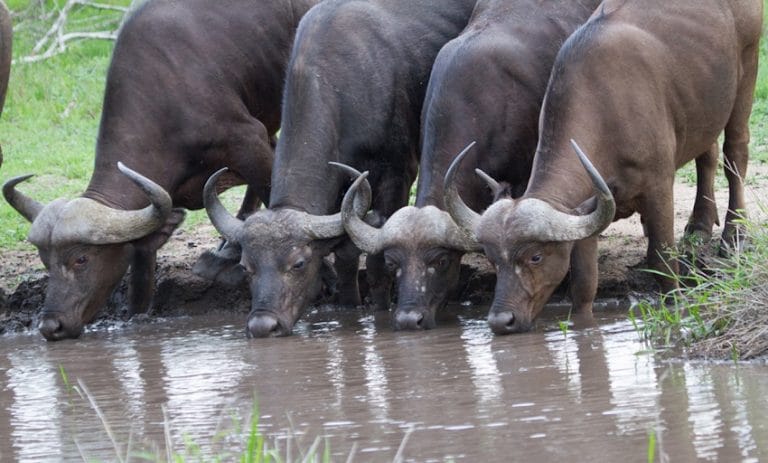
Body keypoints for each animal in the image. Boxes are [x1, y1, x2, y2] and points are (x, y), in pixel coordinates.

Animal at [204, 0, 476, 338]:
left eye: (299, 263)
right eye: (246, 267)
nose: (263, 325)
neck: (341, 87)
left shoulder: (397, 173)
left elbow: (375, 262)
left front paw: (379, 309)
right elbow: (346, 256)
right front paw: (349, 308)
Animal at [446, 0, 762, 334]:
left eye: (535, 257)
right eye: (493, 260)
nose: (500, 321)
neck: (606, 112)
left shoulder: (659, 188)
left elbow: (662, 260)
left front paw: (676, 305)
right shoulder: (586, 212)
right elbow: (585, 282)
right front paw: (583, 324)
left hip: (748, 69)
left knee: (735, 153)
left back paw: (735, 233)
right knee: (707, 153)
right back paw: (699, 225)